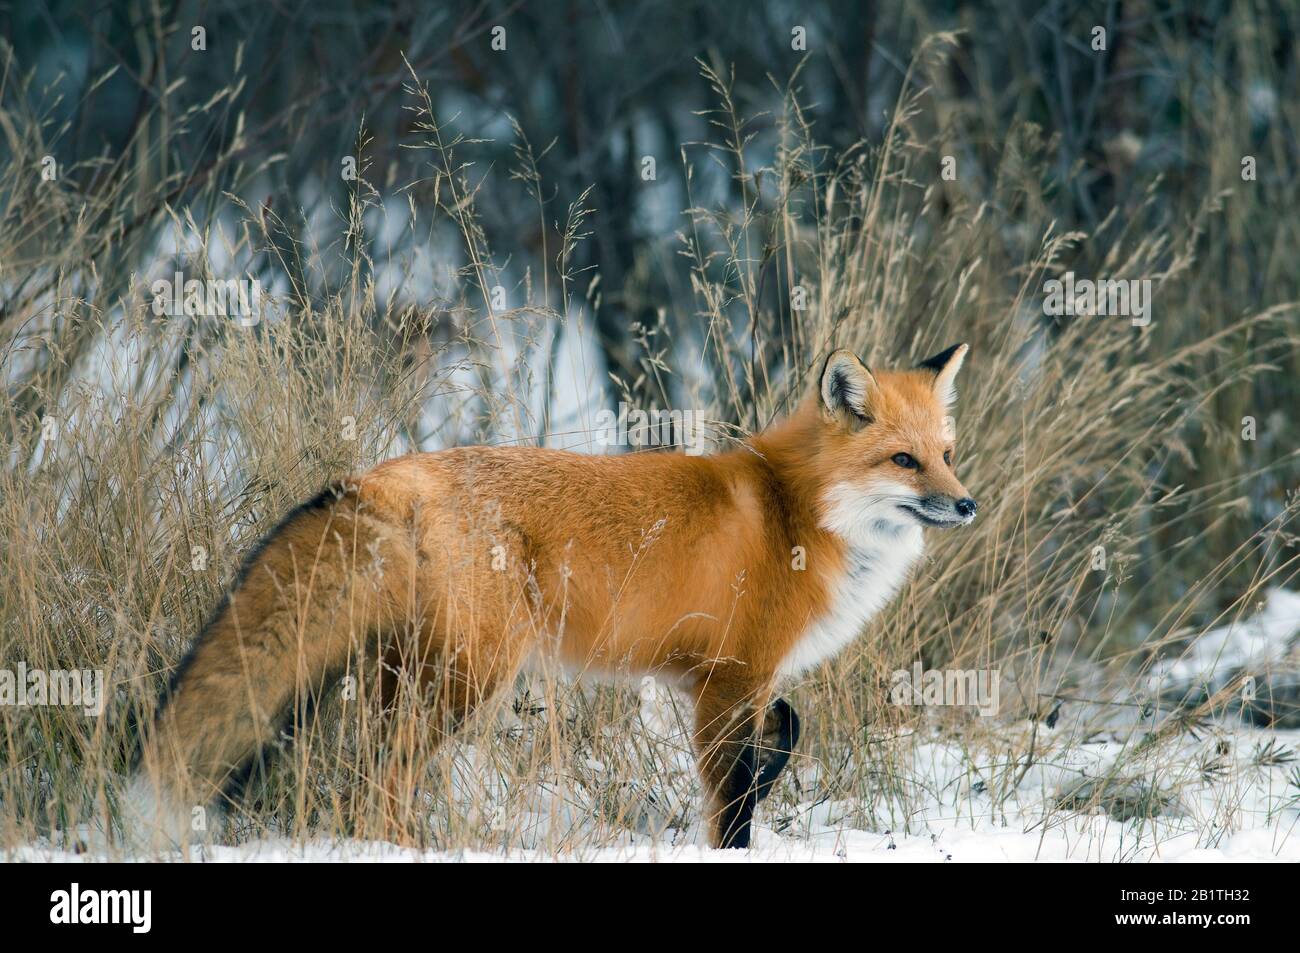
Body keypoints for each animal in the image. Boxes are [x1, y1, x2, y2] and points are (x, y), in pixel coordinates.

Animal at [123, 343, 976, 851]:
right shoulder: (729, 679)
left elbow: (787, 730)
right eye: (904, 461)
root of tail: (386, 474)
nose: (967, 504)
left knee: (365, 779)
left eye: (947, 454)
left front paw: (773, 766)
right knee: (381, 782)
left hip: (403, 676)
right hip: (466, 681)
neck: (795, 515)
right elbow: (731, 798)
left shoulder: (725, 680)